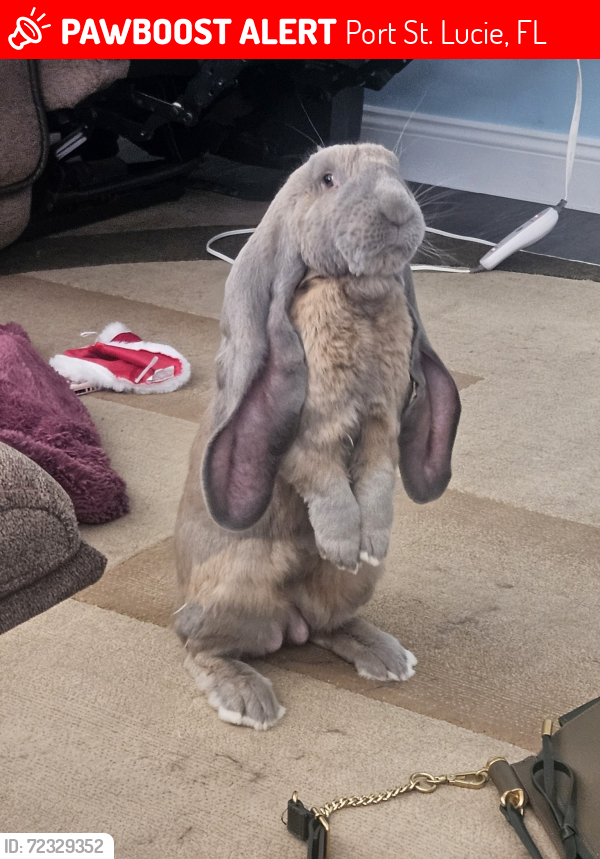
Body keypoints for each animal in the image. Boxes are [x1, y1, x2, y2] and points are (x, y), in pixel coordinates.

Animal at [174, 143, 461, 729]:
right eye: (328, 180)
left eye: (397, 171)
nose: (399, 209)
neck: (358, 291)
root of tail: (291, 620)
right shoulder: (311, 435)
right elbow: (328, 484)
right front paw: (345, 544)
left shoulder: (381, 423)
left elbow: (375, 481)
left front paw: (371, 544)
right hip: (237, 590)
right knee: (198, 645)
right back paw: (249, 702)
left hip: (343, 595)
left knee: (328, 627)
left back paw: (387, 657)